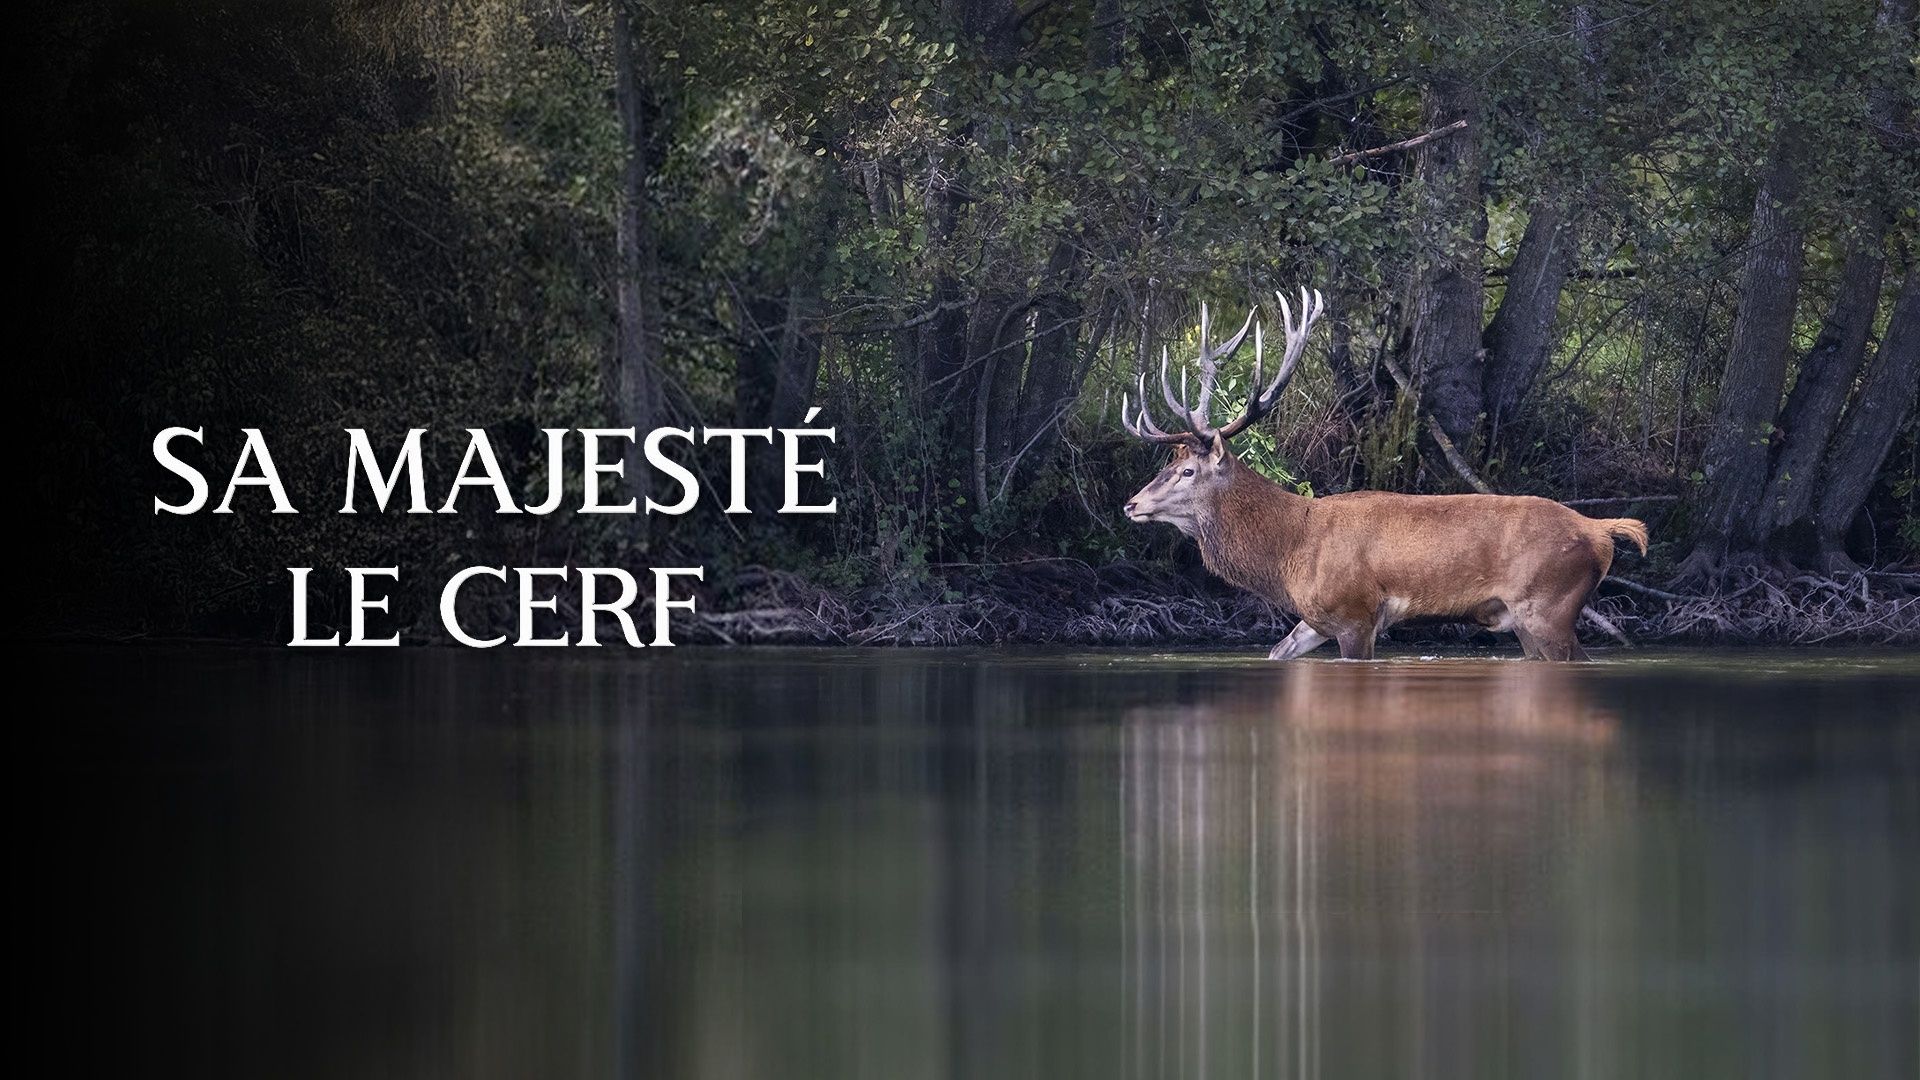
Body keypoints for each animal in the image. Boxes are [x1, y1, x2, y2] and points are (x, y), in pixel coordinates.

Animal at [1121, 287, 1648, 661]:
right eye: (1169, 464)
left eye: (1188, 470)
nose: (1131, 504)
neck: (1290, 551)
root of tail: (1601, 529)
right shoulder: (1315, 618)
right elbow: (1277, 651)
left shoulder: (1355, 612)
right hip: (1528, 619)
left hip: (1548, 607)